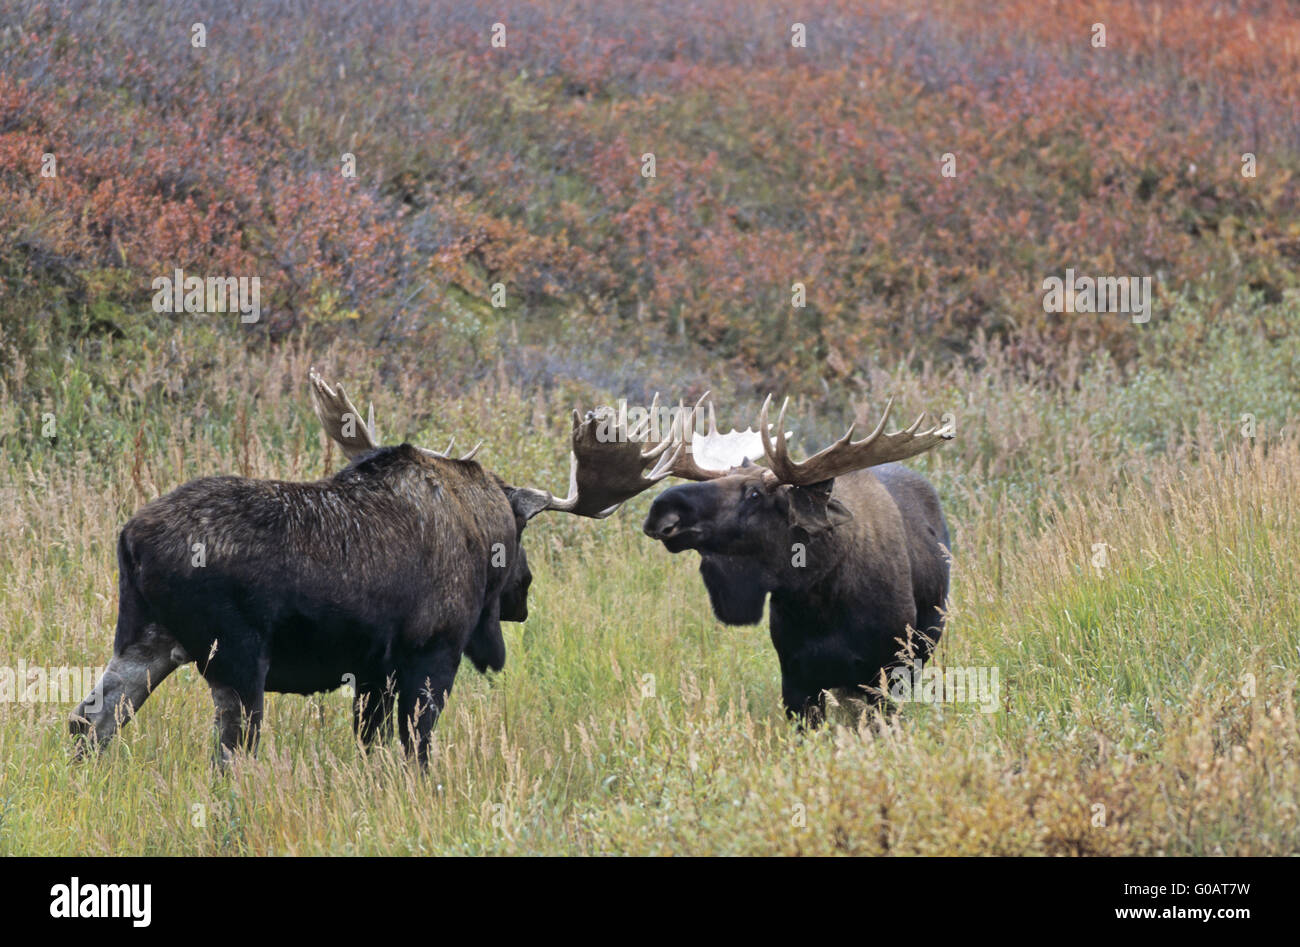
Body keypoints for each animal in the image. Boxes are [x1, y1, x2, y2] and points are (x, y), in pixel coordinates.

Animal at [70, 371, 681, 764]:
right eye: (523, 535)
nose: (524, 592)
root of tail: (131, 538)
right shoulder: (432, 653)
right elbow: (417, 750)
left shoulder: (371, 672)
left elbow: (371, 747)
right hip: (236, 657)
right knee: (229, 756)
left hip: (145, 638)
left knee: (88, 723)